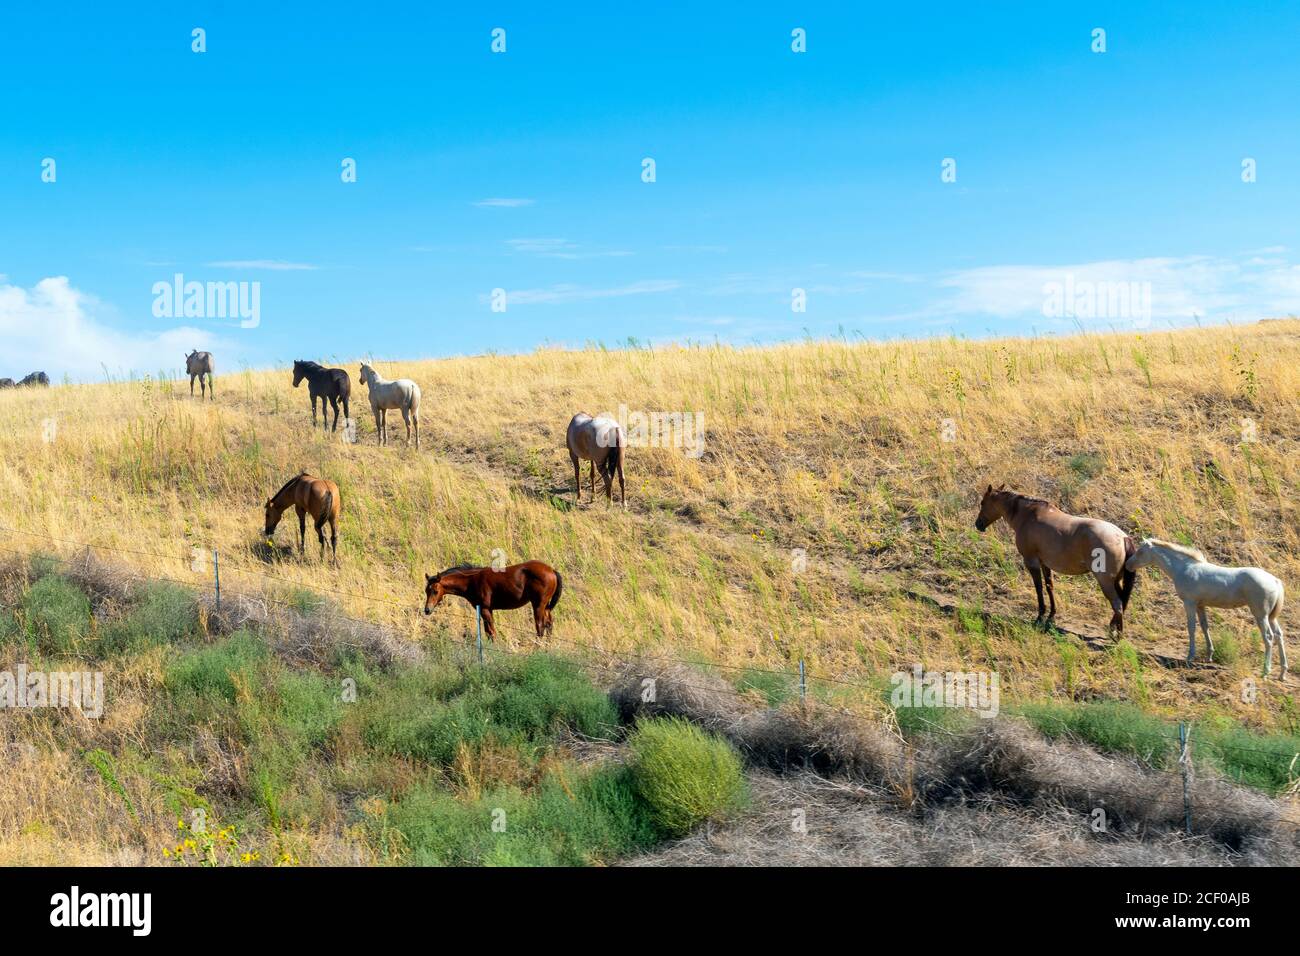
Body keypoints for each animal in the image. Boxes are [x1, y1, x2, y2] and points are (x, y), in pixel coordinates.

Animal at [422, 561, 563, 639]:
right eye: (426, 591)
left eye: (435, 591)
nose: (427, 610)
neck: (472, 580)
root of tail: (552, 570)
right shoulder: (486, 610)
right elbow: (488, 633)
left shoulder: (485, 609)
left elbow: (491, 632)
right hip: (545, 606)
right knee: (549, 624)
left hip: (538, 605)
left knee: (540, 627)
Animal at [975, 484, 1137, 636]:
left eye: (983, 502)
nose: (978, 524)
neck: (1028, 516)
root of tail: (1123, 537)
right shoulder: (1044, 563)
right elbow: (1049, 587)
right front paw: (1051, 616)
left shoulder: (1031, 561)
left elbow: (1039, 588)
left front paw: (1040, 616)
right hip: (1115, 581)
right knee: (1122, 601)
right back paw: (1113, 627)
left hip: (1106, 581)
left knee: (1118, 604)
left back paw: (1117, 635)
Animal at [1126, 538, 1287, 676]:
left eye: (1140, 551)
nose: (1127, 565)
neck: (1184, 568)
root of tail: (1275, 580)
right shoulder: (1200, 605)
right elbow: (1205, 627)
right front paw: (1209, 655)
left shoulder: (1189, 603)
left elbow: (1191, 627)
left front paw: (1190, 656)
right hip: (1271, 617)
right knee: (1279, 635)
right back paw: (1282, 673)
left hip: (1261, 615)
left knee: (1269, 637)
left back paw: (1266, 672)